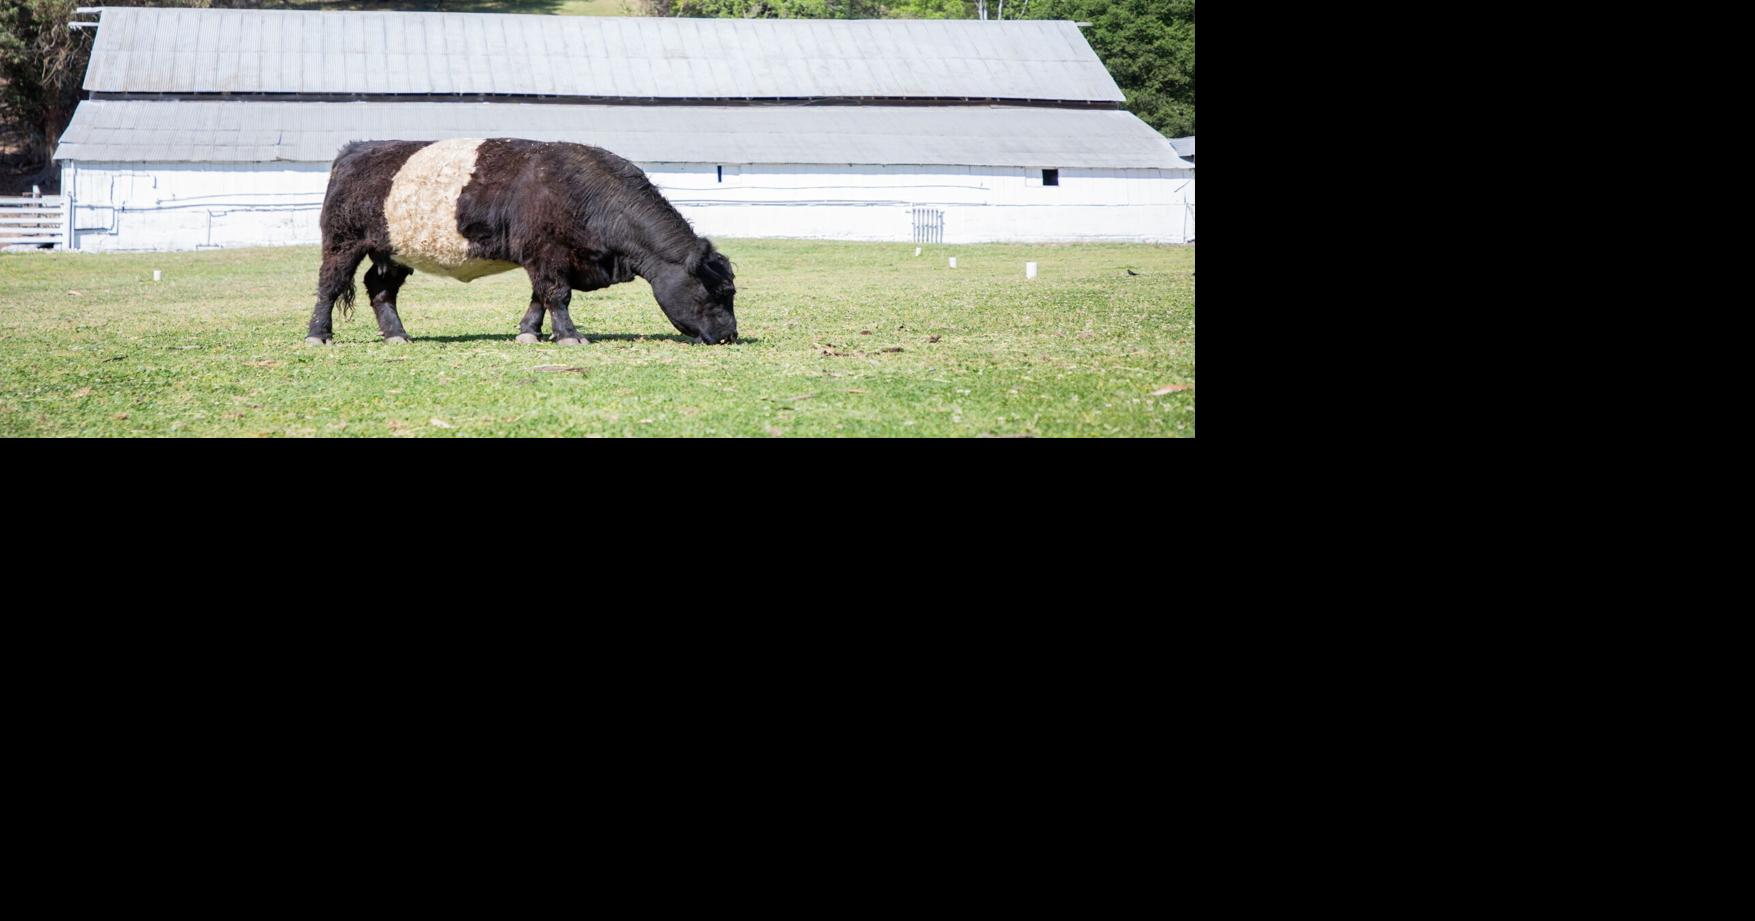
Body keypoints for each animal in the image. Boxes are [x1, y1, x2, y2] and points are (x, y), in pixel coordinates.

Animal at [305, 138, 738, 347]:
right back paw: (318, 335)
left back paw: (397, 335)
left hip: (394, 252)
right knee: (329, 286)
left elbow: (539, 298)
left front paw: (529, 332)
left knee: (380, 289)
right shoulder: (547, 253)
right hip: (343, 243)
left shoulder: (544, 258)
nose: (730, 335)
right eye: (714, 292)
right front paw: (570, 336)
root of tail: (356, 150)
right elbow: (558, 296)